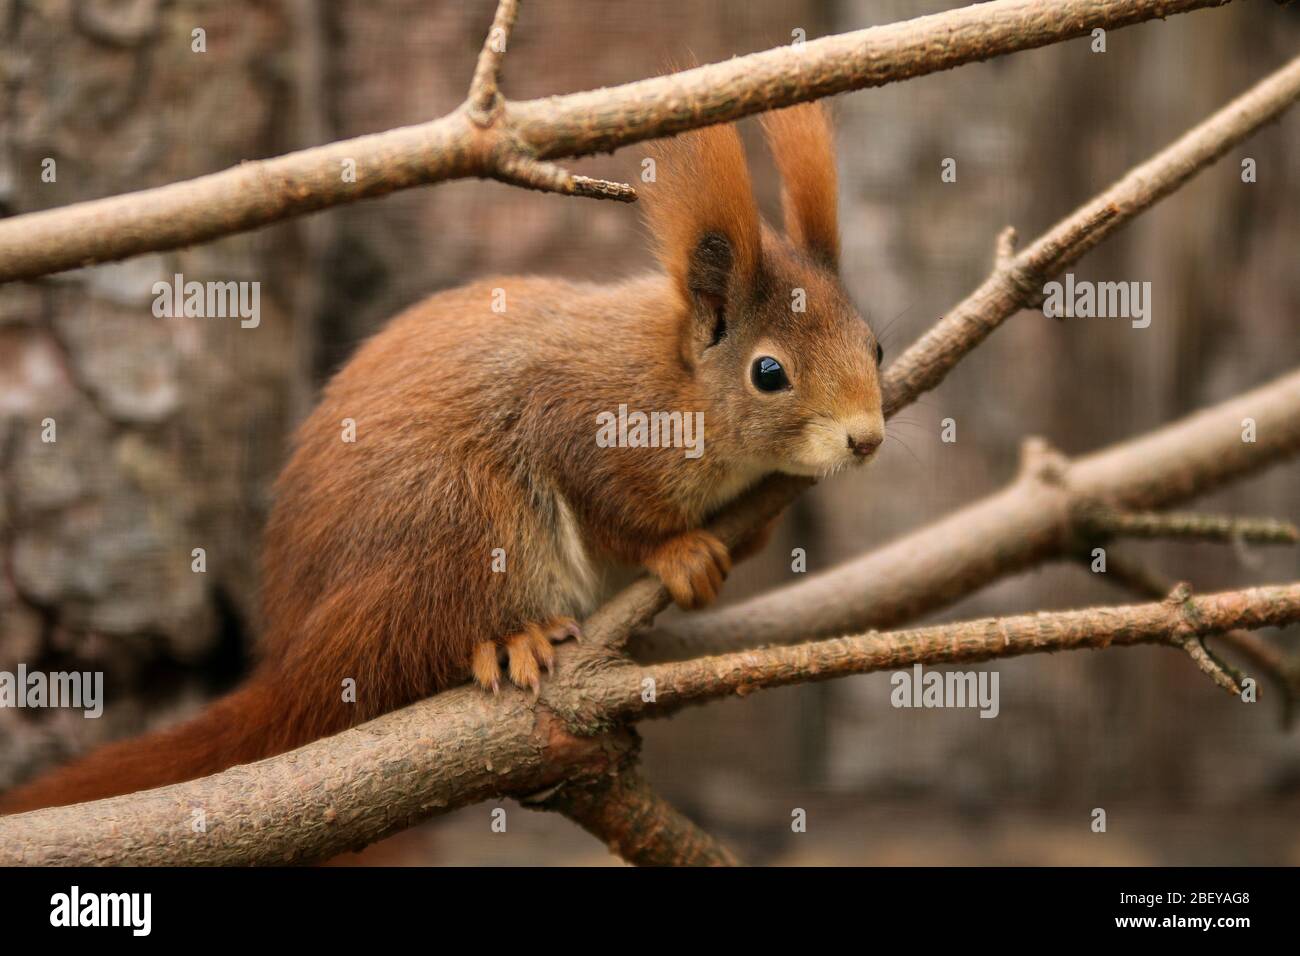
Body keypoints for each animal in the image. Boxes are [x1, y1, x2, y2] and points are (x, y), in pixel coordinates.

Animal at [1, 103, 884, 814]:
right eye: (769, 374)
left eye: (874, 343)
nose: (867, 437)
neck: (678, 384)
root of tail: (297, 661)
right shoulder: (586, 421)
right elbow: (613, 509)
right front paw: (680, 553)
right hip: (467, 521)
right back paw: (507, 641)